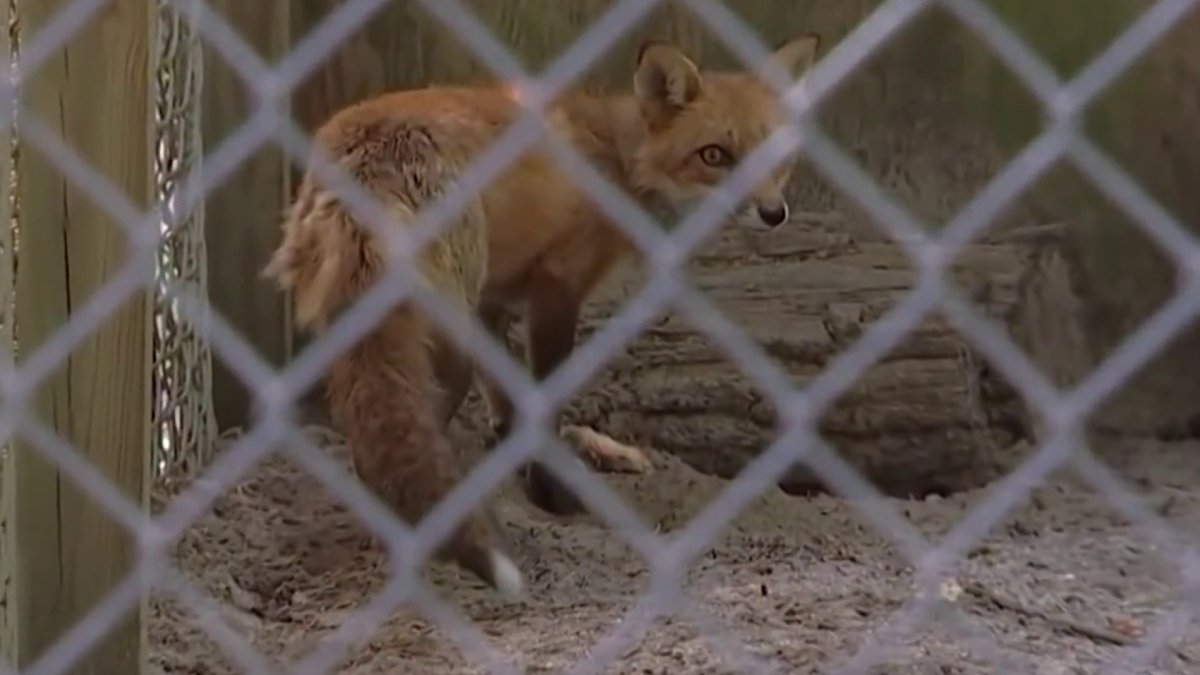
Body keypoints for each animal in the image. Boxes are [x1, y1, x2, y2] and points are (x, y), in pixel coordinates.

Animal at [261, 33, 820, 596]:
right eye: (715, 155)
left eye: (776, 159)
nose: (773, 214)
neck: (619, 160)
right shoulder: (558, 285)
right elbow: (544, 402)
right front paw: (550, 494)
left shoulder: (493, 300)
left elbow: (510, 402)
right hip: (441, 343)